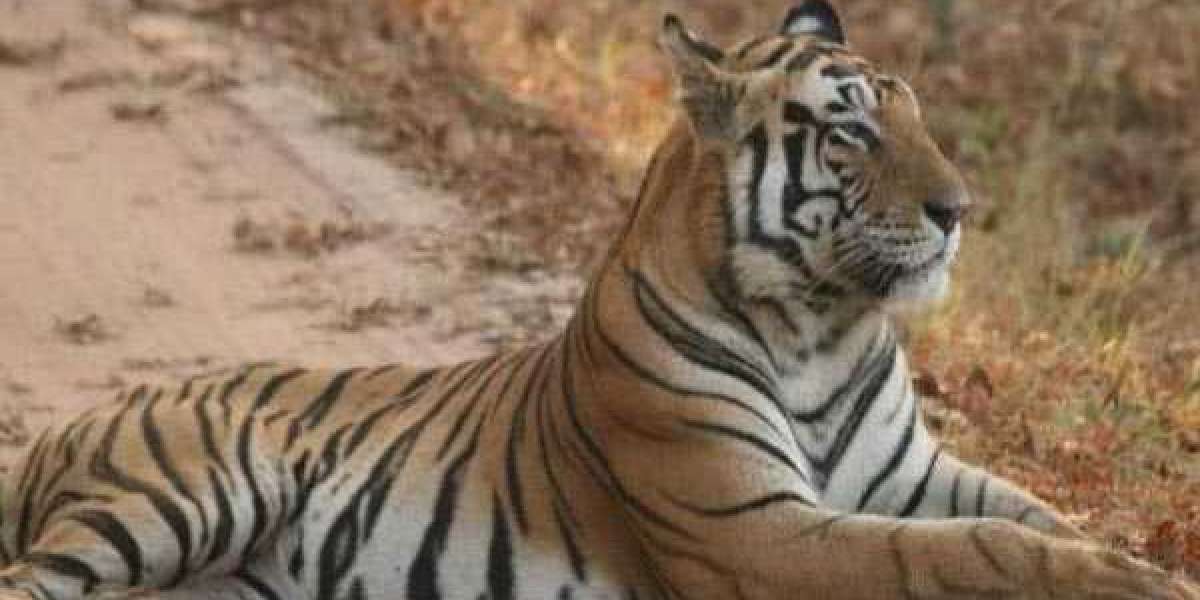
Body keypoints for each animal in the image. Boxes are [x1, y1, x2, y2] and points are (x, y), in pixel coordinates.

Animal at [1, 2, 1196, 599]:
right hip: (186, 494)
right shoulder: (758, 532)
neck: (822, 326)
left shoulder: (913, 478)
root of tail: (73, 424)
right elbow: (965, 554)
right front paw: (1130, 584)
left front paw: (1134, 559)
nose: (961, 210)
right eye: (852, 128)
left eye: (919, 117)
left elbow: (1035, 519)